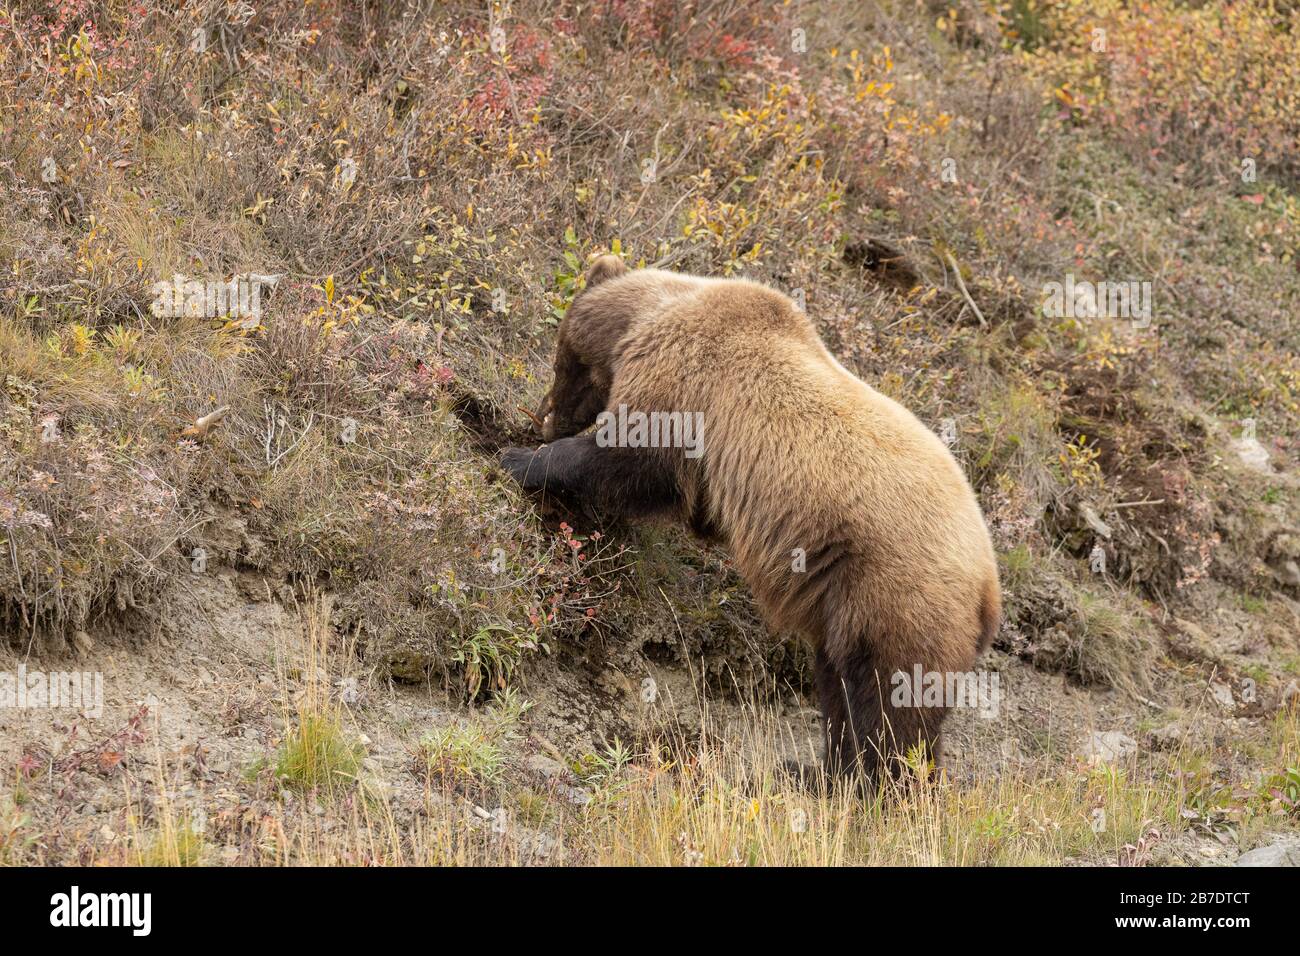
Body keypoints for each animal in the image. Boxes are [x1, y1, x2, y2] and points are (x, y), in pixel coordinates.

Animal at [501, 255, 1000, 786]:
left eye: (562, 359)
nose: (544, 418)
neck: (645, 320)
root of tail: (989, 588)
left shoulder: (684, 381)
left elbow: (633, 461)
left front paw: (522, 460)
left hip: (895, 595)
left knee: (888, 703)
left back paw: (868, 784)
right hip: (852, 609)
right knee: (839, 688)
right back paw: (819, 773)